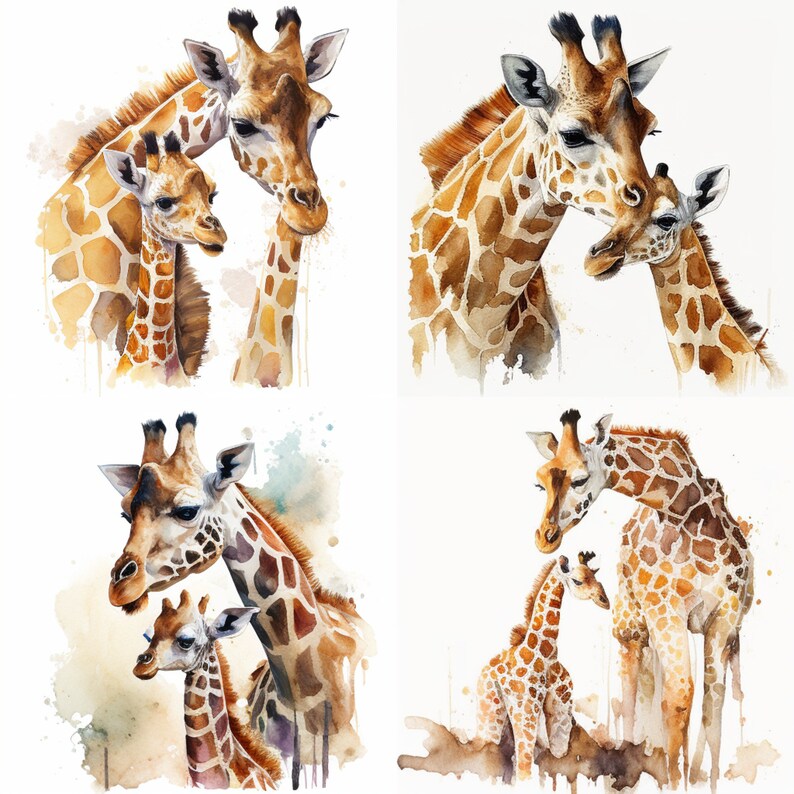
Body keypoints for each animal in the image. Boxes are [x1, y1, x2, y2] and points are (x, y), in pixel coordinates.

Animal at [475, 551, 609, 780]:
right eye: (578, 580)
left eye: (596, 577)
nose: (605, 601)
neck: (546, 653)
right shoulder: (525, 710)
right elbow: (524, 767)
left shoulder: (561, 711)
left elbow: (556, 759)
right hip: (491, 709)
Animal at [526, 409, 754, 789]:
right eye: (539, 484)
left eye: (580, 479)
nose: (545, 537)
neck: (684, 508)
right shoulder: (664, 608)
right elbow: (678, 697)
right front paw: (674, 781)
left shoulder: (723, 616)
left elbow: (711, 703)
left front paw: (701, 780)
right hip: (631, 627)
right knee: (631, 693)